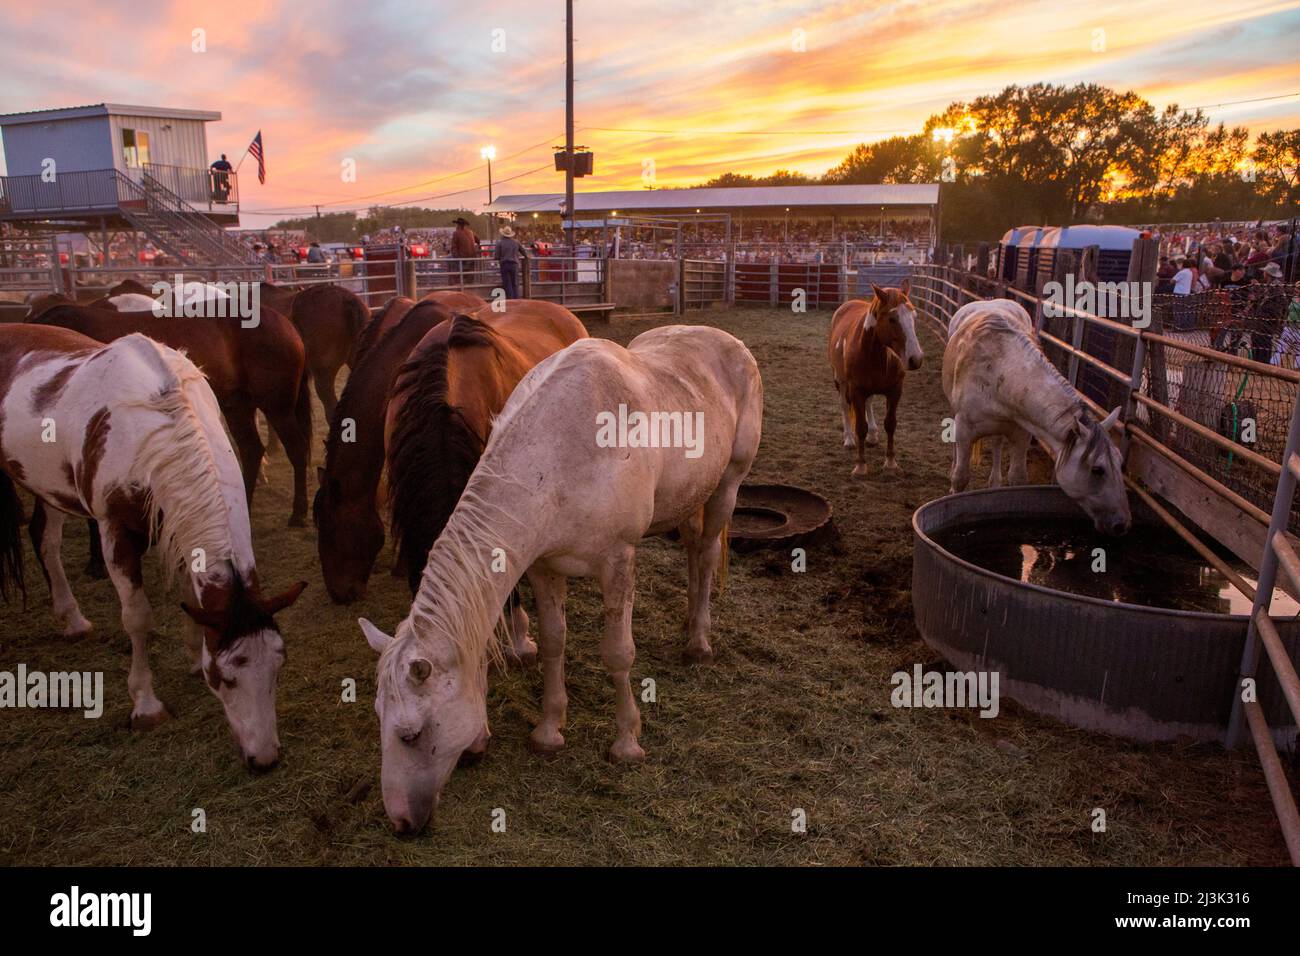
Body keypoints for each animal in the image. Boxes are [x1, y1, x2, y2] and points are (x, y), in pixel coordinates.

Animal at [0, 326, 306, 767]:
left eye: (278, 668)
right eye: (225, 678)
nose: (263, 759)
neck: (151, 427)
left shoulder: (177, 524)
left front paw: (192, 658)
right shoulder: (115, 533)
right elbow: (137, 618)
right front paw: (146, 705)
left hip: (48, 486)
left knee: (45, 538)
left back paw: (72, 619)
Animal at [28, 302, 313, 526]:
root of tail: (286, 323)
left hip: (277, 407)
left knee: (296, 449)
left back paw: (298, 513)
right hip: (238, 406)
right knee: (252, 450)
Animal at [358, 324, 763, 834]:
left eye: (410, 734)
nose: (401, 823)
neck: (558, 459)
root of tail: (728, 340)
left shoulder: (618, 560)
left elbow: (618, 652)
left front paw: (626, 742)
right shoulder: (544, 568)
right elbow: (553, 642)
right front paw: (549, 730)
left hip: (728, 483)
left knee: (707, 554)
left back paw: (699, 641)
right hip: (689, 494)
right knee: (692, 550)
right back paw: (688, 625)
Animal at [828, 281, 925, 477]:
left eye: (914, 316)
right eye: (892, 319)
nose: (916, 358)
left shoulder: (895, 390)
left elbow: (890, 424)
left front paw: (890, 463)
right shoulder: (856, 390)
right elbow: (860, 427)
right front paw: (860, 466)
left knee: (869, 403)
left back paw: (873, 434)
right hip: (840, 381)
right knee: (844, 405)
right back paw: (848, 439)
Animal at [943, 298, 1131, 536]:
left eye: (1120, 463)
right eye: (1097, 470)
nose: (1122, 524)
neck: (998, 370)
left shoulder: (1021, 433)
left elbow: (1018, 478)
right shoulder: (964, 430)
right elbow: (960, 477)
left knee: (996, 444)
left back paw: (994, 483)